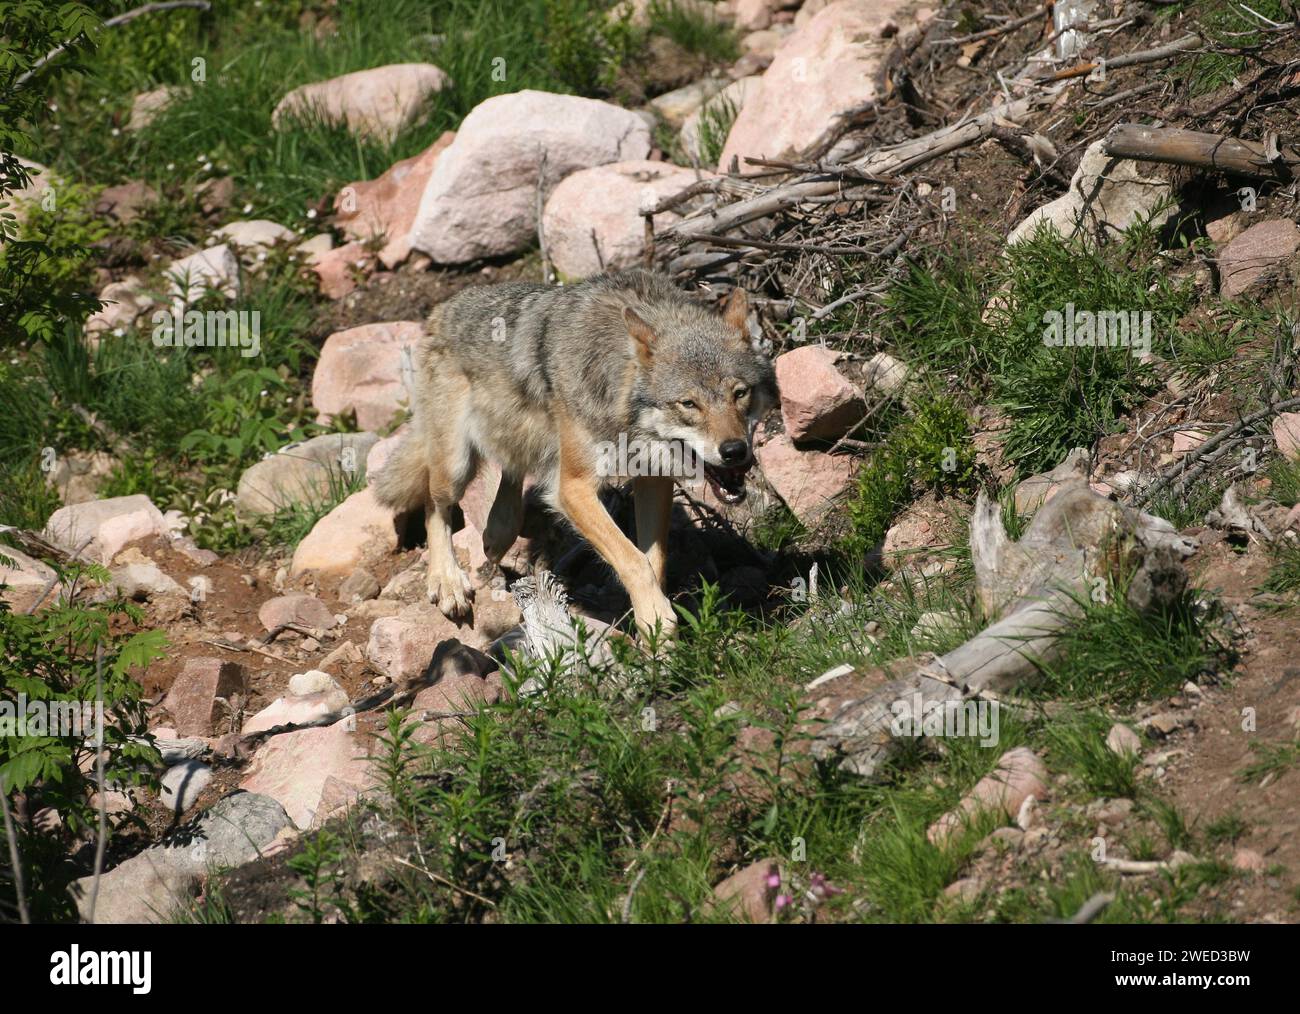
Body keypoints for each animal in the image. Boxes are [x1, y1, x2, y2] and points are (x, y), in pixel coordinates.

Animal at [371, 269, 778, 637]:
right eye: (689, 404)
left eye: (740, 393)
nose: (734, 450)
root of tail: (440, 311)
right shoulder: (574, 488)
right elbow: (633, 560)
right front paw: (656, 621)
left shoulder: (652, 478)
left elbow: (654, 561)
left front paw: (655, 628)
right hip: (455, 466)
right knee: (433, 503)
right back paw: (448, 581)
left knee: (510, 482)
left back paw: (497, 531)